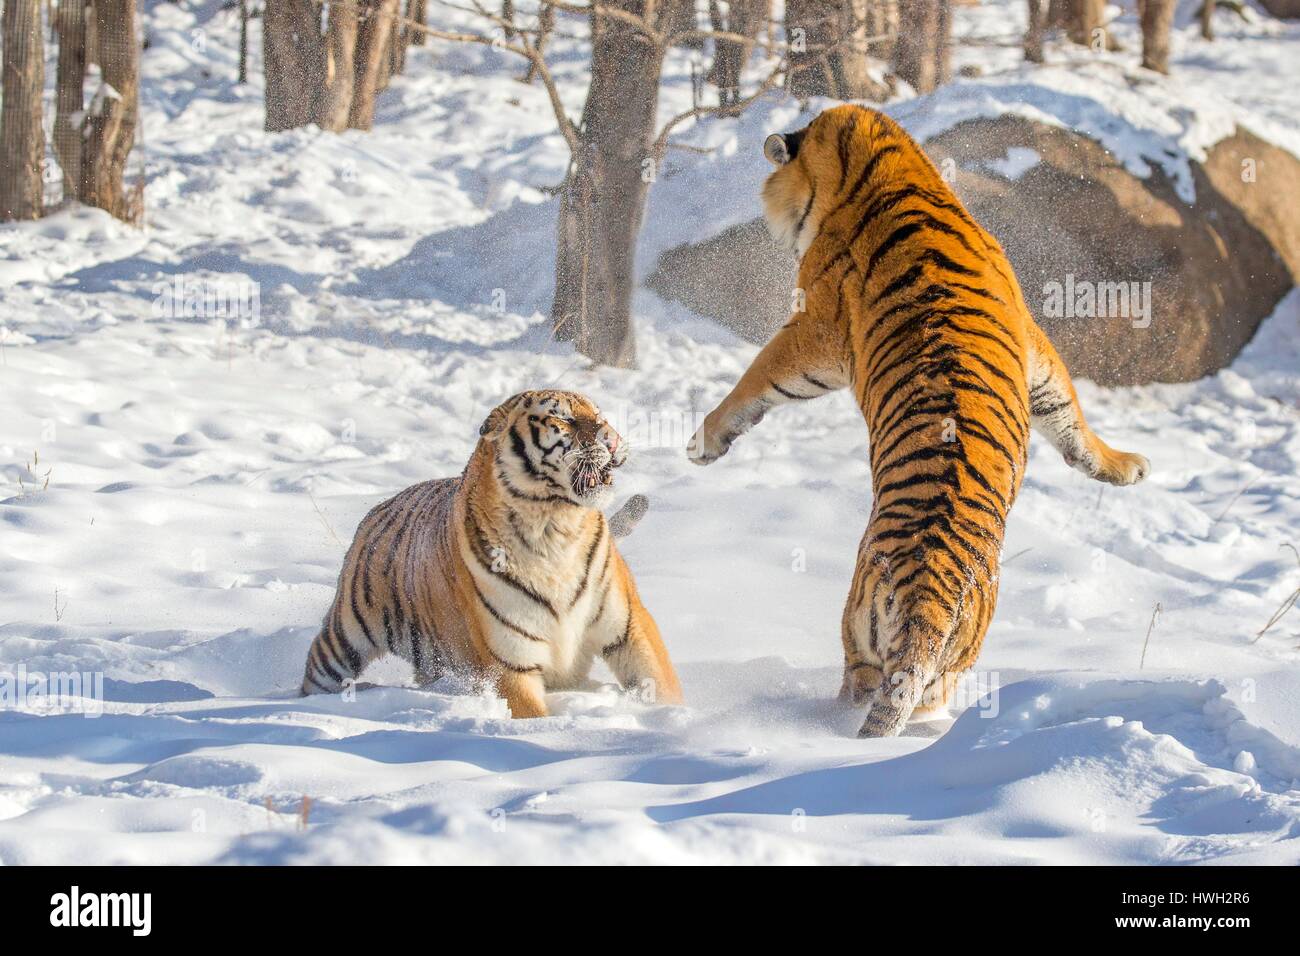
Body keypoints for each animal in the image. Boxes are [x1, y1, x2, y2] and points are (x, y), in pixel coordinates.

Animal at [302, 389, 683, 718]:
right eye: (564, 419)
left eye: (599, 415)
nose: (613, 441)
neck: (555, 525)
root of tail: (380, 508)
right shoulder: (509, 659)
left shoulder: (629, 627)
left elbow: (659, 683)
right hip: (343, 636)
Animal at [687, 104, 1149, 737]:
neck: (885, 165)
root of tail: (928, 601)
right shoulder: (1032, 342)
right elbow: (1068, 413)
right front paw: (1127, 467)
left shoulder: (814, 332)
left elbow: (757, 380)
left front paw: (702, 442)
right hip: (946, 659)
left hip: (859, 634)